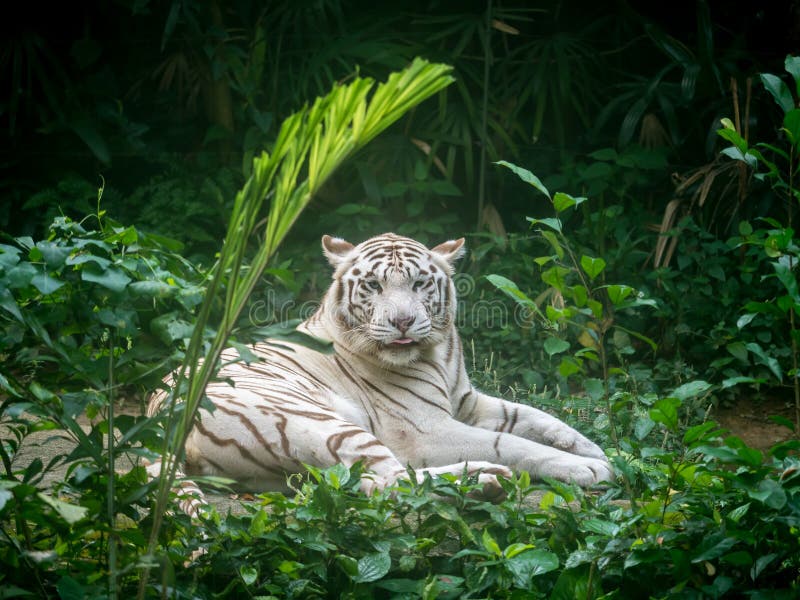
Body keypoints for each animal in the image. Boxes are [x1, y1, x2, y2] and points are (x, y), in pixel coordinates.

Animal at [147, 232, 613, 513]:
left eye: (420, 284)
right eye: (373, 286)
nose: (403, 322)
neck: (436, 353)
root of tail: (159, 432)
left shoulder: (467, 400)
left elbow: (535, 417)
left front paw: (594, 449)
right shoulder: (425, 430)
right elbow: (511, 443)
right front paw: (589, 469)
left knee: (360, 485)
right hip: (318, 421)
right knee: (390, 479)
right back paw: (484, 477)